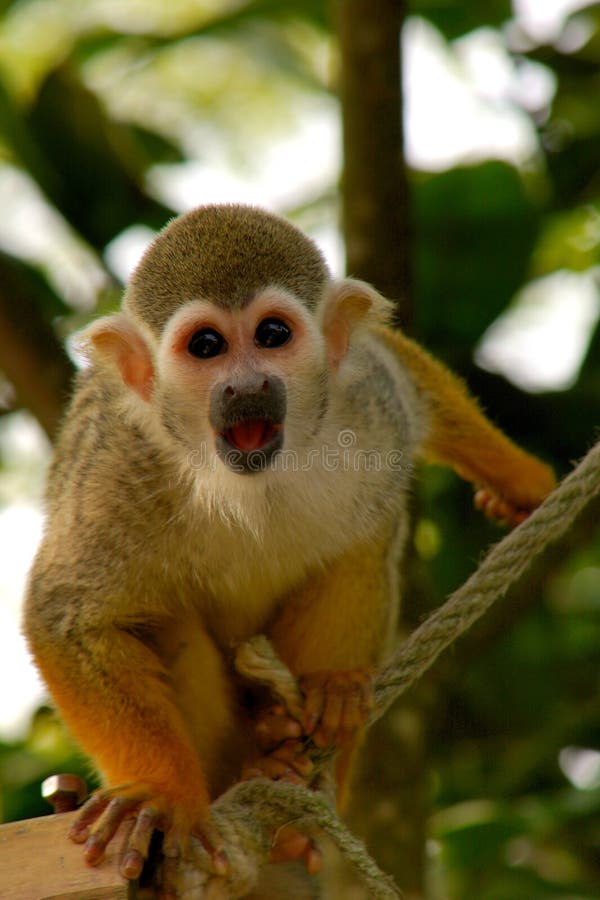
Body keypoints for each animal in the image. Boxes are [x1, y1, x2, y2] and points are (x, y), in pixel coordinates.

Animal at [22, 203, 555, 896]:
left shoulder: (364, 398)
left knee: (367, 538)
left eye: (273, 334)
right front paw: (164, 793)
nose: (247, 386)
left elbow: (400, 388)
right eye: (206, 347)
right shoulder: (116, 469)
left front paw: (517, 478)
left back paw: (299, 749)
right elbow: (65, 617)